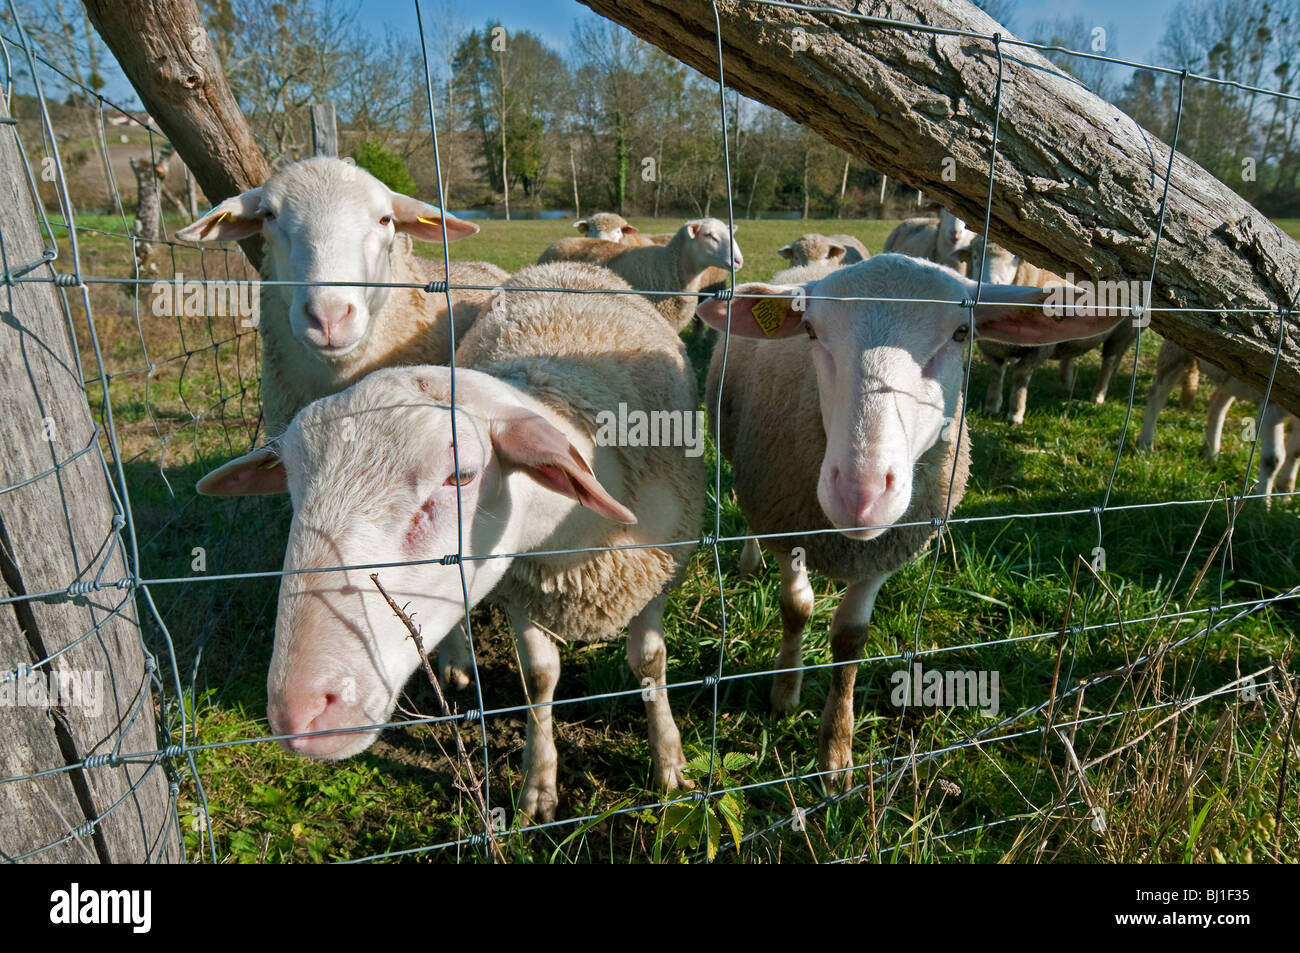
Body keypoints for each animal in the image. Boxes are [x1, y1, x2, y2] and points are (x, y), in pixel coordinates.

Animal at [195, 261, 705, 823]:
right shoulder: (519, 586)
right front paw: (538, 785)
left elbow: (649, 663)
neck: (569, 543)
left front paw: (669, 765)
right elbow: (539, 677)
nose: (299, 712)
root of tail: (570, 266)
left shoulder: (656, 568)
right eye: (292, 483)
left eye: (460, 476)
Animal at [699, 254, 1119, 787]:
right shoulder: (785, 522)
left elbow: (850, 639)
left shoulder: (885, 548)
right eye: (810, 331)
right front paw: (784, 694)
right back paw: (749, 560)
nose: (860, 493)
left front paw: (836, 753)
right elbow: (796, 609)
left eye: (962, 332)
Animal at [964, 235, 1137, 425]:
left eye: (1014, 258)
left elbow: (1021, 376)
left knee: (1109, 361)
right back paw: (1067, 385)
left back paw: (1098, 395)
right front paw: (992, 406)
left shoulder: (1039, 349)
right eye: (974, 255)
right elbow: (996, 373)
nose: (991, 283)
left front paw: (1015, 413)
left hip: (1124, 330)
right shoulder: (989, 348)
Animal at [1138, 339, 1300, 502]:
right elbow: (1272, 459)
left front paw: (1284, 492)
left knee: (1217, 402)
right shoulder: (1270, 405)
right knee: (1157, 393)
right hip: (1176, 350)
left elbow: (1295, 453)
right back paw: (1145, 445)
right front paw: (1261, 502)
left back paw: (1211, 453)